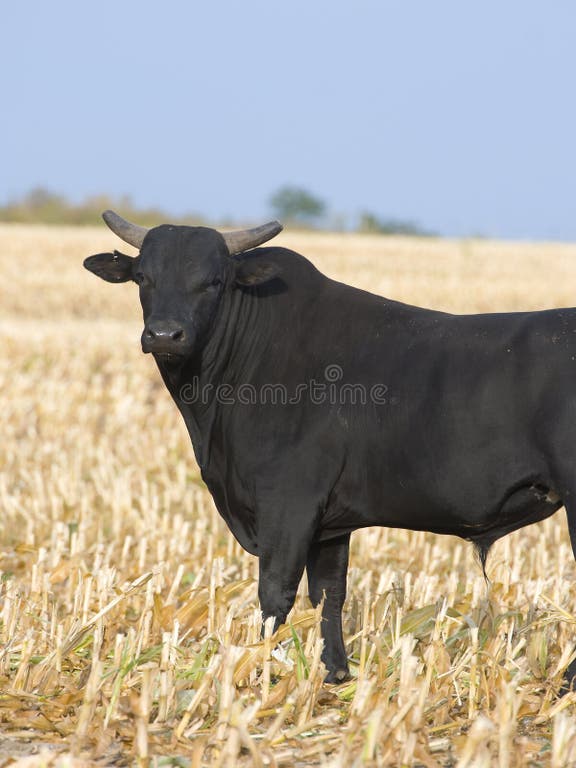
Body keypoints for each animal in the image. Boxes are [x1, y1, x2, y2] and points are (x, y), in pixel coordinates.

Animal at [84, 210, 576, 690]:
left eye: (214, 281)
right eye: (143, 277)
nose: (164, 334)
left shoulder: (289, 500)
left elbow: (275, 591)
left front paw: (258, 673)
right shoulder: (331, 521)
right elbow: (328, 593)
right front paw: (334, 673)